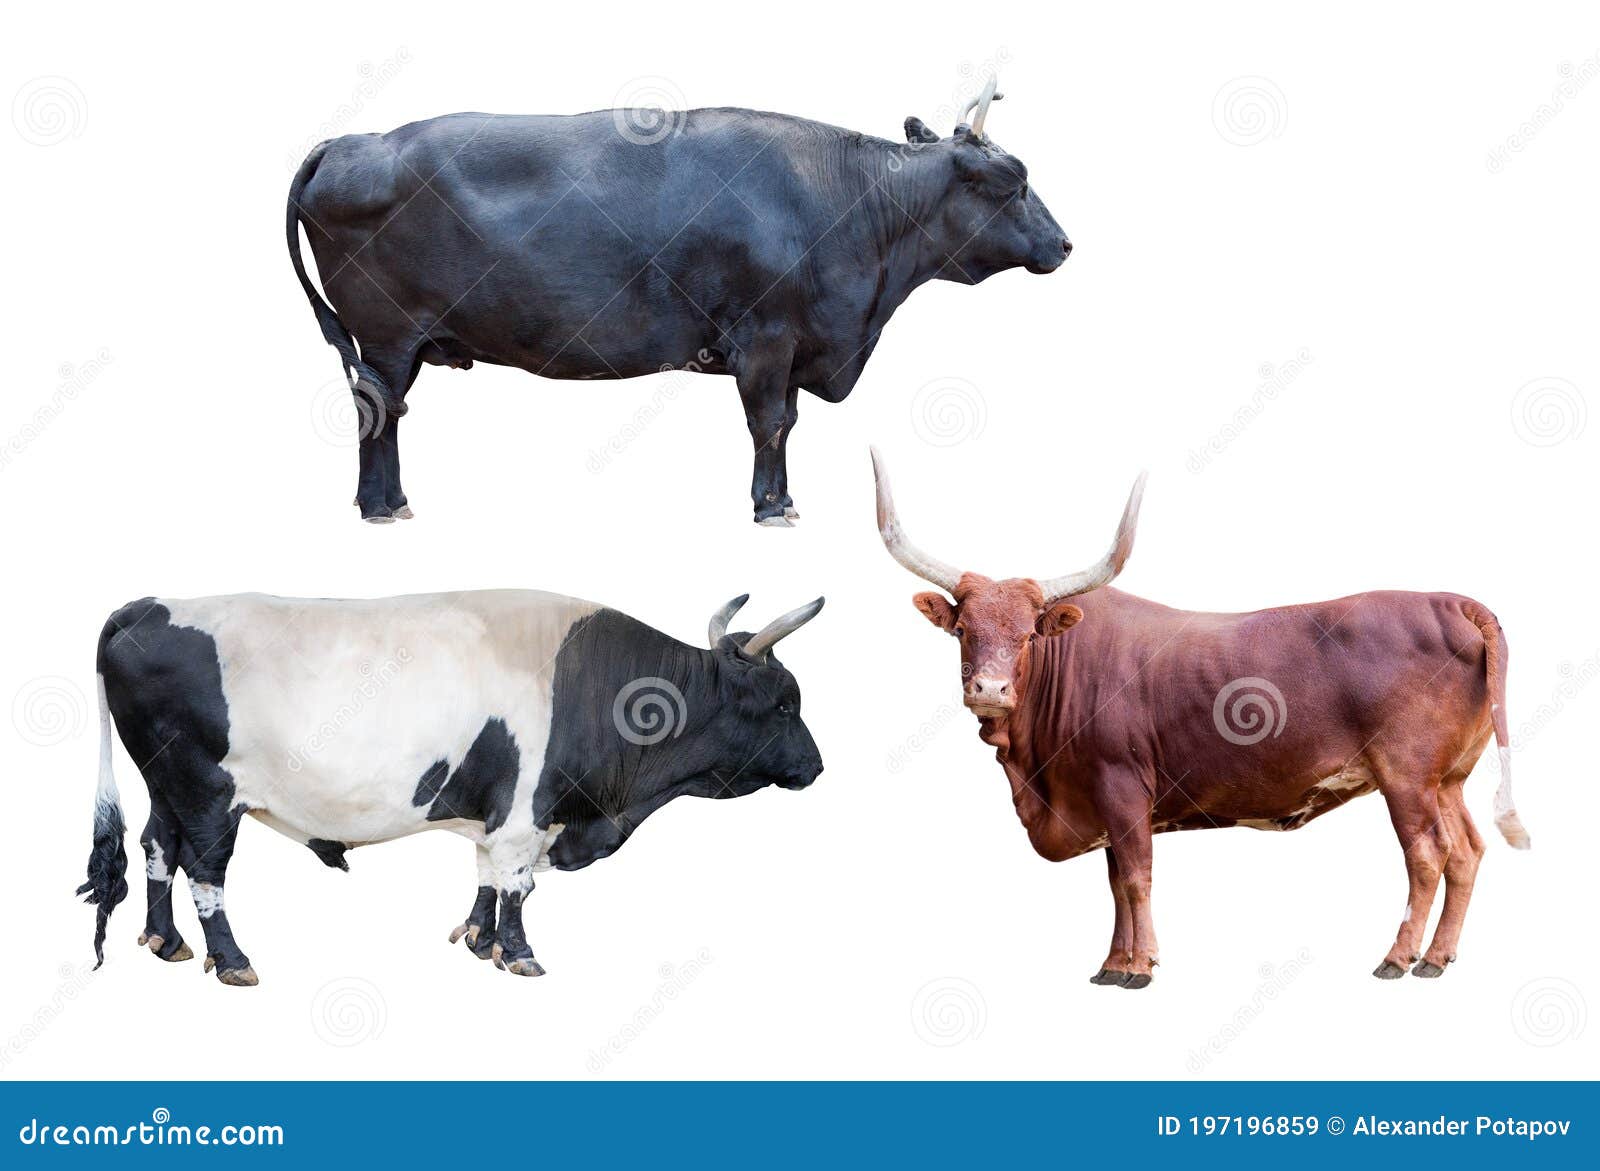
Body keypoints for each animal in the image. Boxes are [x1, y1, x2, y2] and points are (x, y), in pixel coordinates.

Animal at [78, 590, 824, 984]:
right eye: (785, 703)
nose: (817, 766)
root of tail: (147, 606)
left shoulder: (496, 814)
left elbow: (489, 876)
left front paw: (477, 937)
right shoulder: (527, 812)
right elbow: (519, 886)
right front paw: (518, 954)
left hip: (165, 783)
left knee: (157, 847)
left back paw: (164, 940)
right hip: (207, 791)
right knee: (204, 867)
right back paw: (230, 959)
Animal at [286, 77, 1069, 525]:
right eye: (1015, 182)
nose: (1065, 245)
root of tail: (351, 141)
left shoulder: (792, 343)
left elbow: (784, 425)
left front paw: (781, 498)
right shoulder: (766, 337)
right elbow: (770, 424)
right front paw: (772, 507)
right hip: (386, 336)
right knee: (377, 412)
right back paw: (382, 507)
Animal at [869, 448, 1530, 988]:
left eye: (1029, 633)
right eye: (962, 629)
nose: (989, 688)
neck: (1037, 775)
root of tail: (1446, 601)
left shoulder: (1121, 785)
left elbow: (1136, 876)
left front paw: (1141, 967)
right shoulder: (1103, 799)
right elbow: (1115, 882)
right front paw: (1112, 964)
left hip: (1407, 777)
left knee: (1428, 855)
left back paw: (1396, 959)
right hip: (1447, 779)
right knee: (1466, 852)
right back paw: (1437, 959)